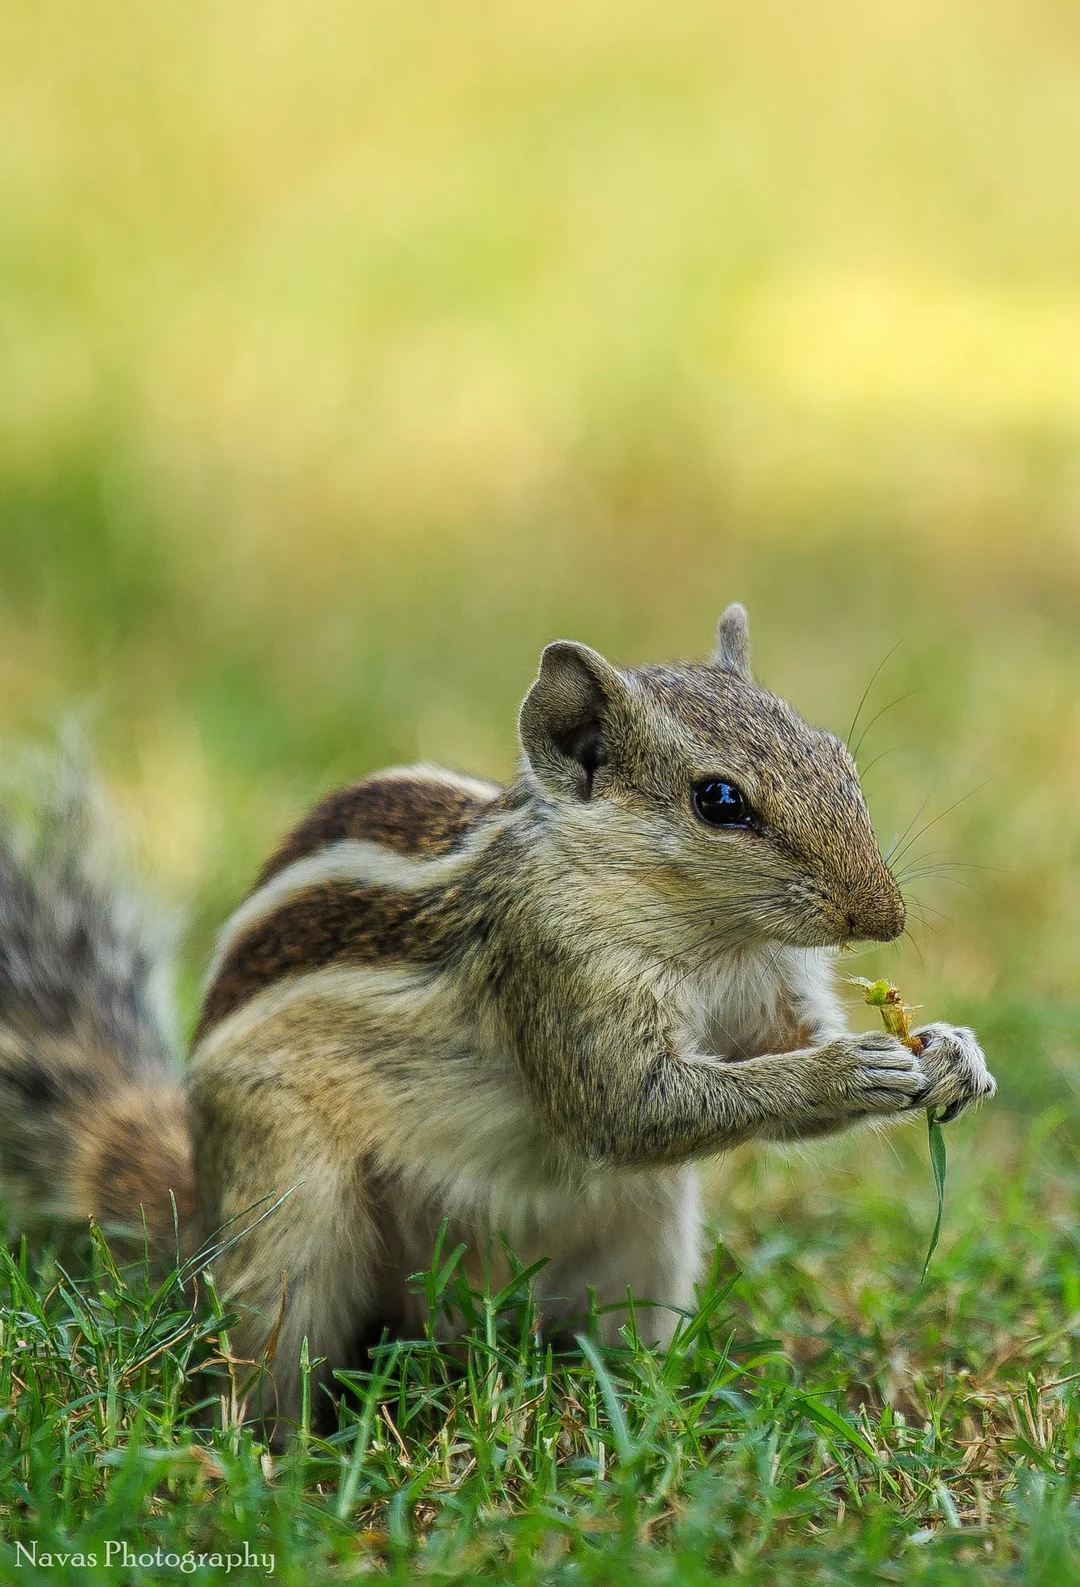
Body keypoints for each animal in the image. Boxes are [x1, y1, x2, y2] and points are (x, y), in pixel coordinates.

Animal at [0, 605, 995, 1429]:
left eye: (839, 758)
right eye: (720, 800)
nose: (883, 917)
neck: (712, 937)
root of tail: (198, 1203)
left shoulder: (766, 993)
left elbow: (765, 1051)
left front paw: (950, 1052)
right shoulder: (553, 968)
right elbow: (626, 1106)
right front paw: (849, 1070)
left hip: (649, 1239)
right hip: (288, 1207)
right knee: (263, 1350)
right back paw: (272, 1456)